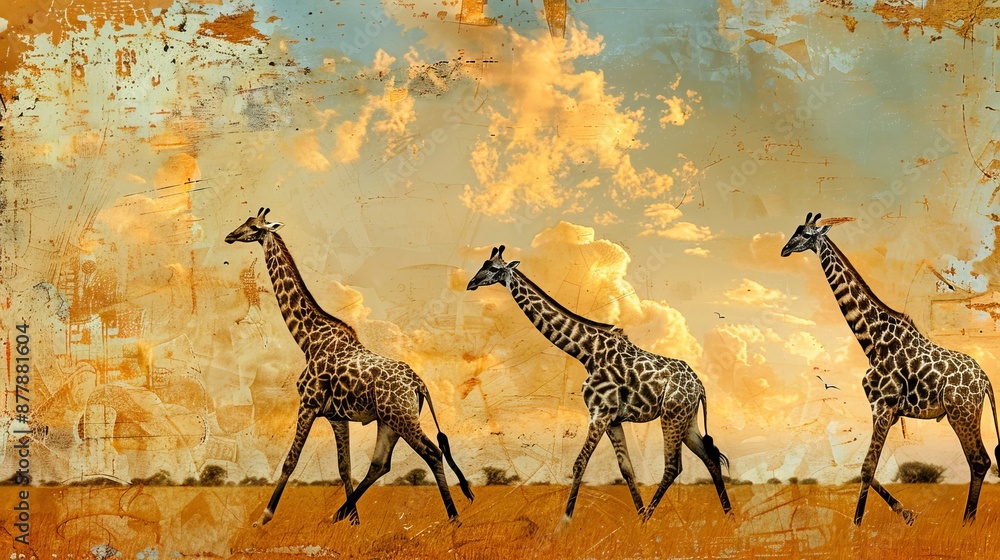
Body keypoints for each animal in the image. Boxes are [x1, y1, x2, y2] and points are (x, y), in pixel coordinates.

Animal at [225, 208, 474, 526]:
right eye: (244, 222)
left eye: (254, 227)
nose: (230, 236)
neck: (308, 339)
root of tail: (419, 385)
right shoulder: (335, 416)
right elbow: (344, 467)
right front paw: (354, 521)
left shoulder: (308, 403)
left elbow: (290, 461)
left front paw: (263, 518)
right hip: (389, 420)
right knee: (380, 463)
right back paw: (340, 513)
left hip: (402, 418)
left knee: (431, 453)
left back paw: (454, 519)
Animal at [466, 245, 733, 523]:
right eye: (483, 264)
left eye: (493, 268)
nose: (471, 283)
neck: (587, 352)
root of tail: (700, 386)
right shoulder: (612, 419)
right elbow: (626, 469)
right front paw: (637, 519)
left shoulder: (599, 413)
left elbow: (579, 463)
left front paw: (565, 522)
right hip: (687, 420)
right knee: (710, 459)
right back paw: (729, 517)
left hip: (672, 416)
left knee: (673, 466)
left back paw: (651, 518)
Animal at [781, 212, 1000, 525]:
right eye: (796, 231)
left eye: (807, 235)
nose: (784, 249)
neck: (871, 340)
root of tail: (984, 379)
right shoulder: (891, 412)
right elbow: (868, 468)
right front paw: (907, 514)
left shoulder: (882, 405)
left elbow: (867, 468)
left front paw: (857, 526)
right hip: (963, 414)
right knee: (979, 460)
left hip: (962, 413)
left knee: (979, 460)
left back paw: (966, 523)